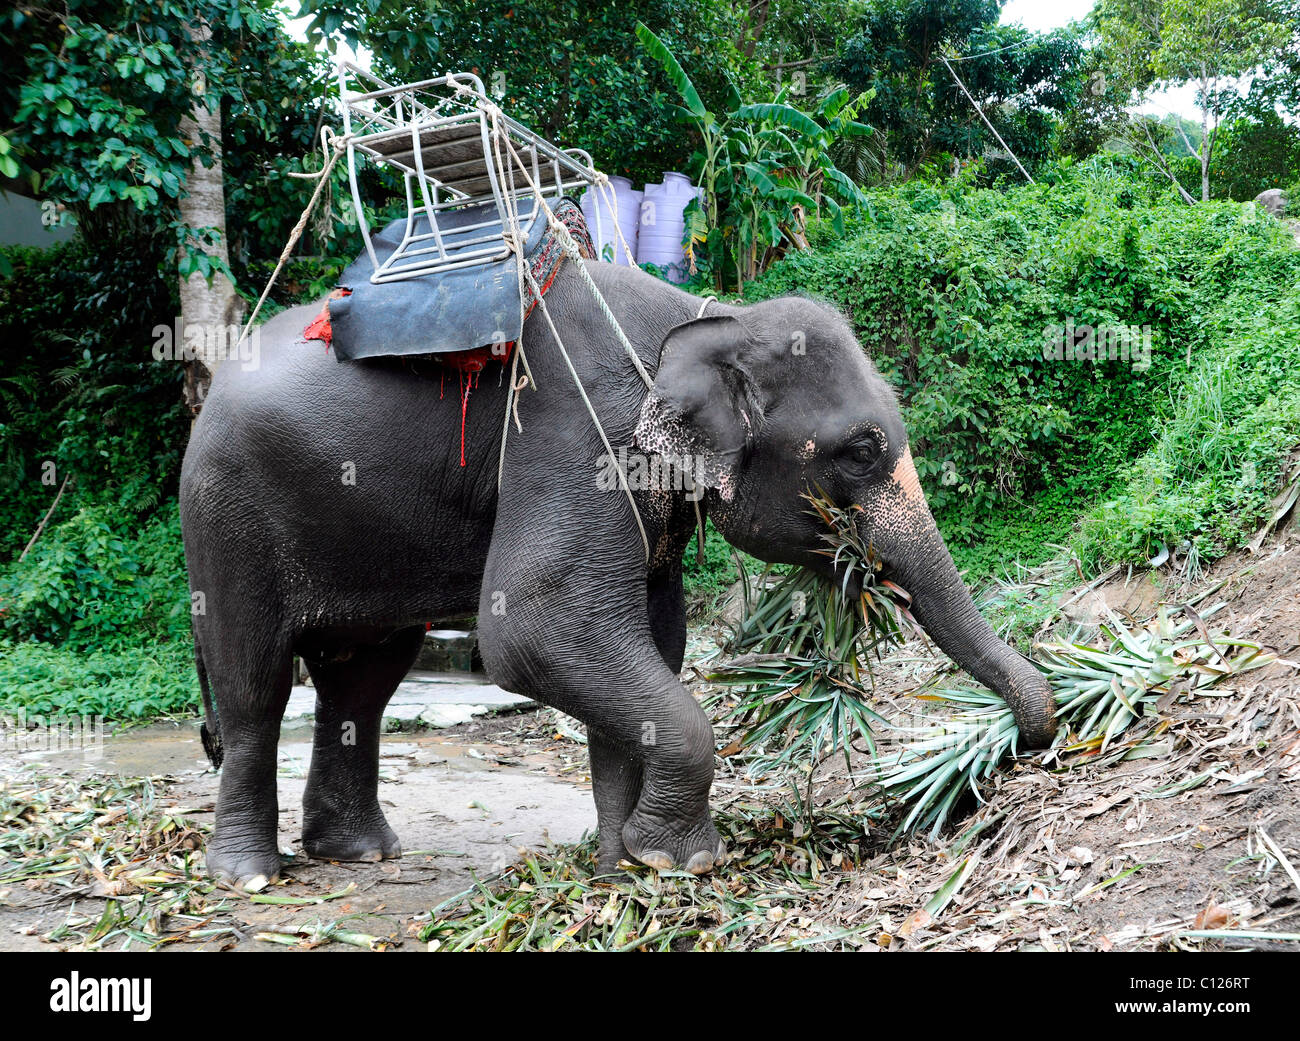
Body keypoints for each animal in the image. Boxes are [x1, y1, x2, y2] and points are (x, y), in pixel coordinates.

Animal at [180, 256, 1056, 888]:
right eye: (863, 449)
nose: (1030, 747)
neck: (699, 317)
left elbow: (647, 641)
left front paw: (622, 870)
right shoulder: (579, 434)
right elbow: (538, 624)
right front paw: (683, 860)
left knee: (363, 680)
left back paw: (359, 854)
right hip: (226, 514)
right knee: (256, 685)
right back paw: (249, 876)